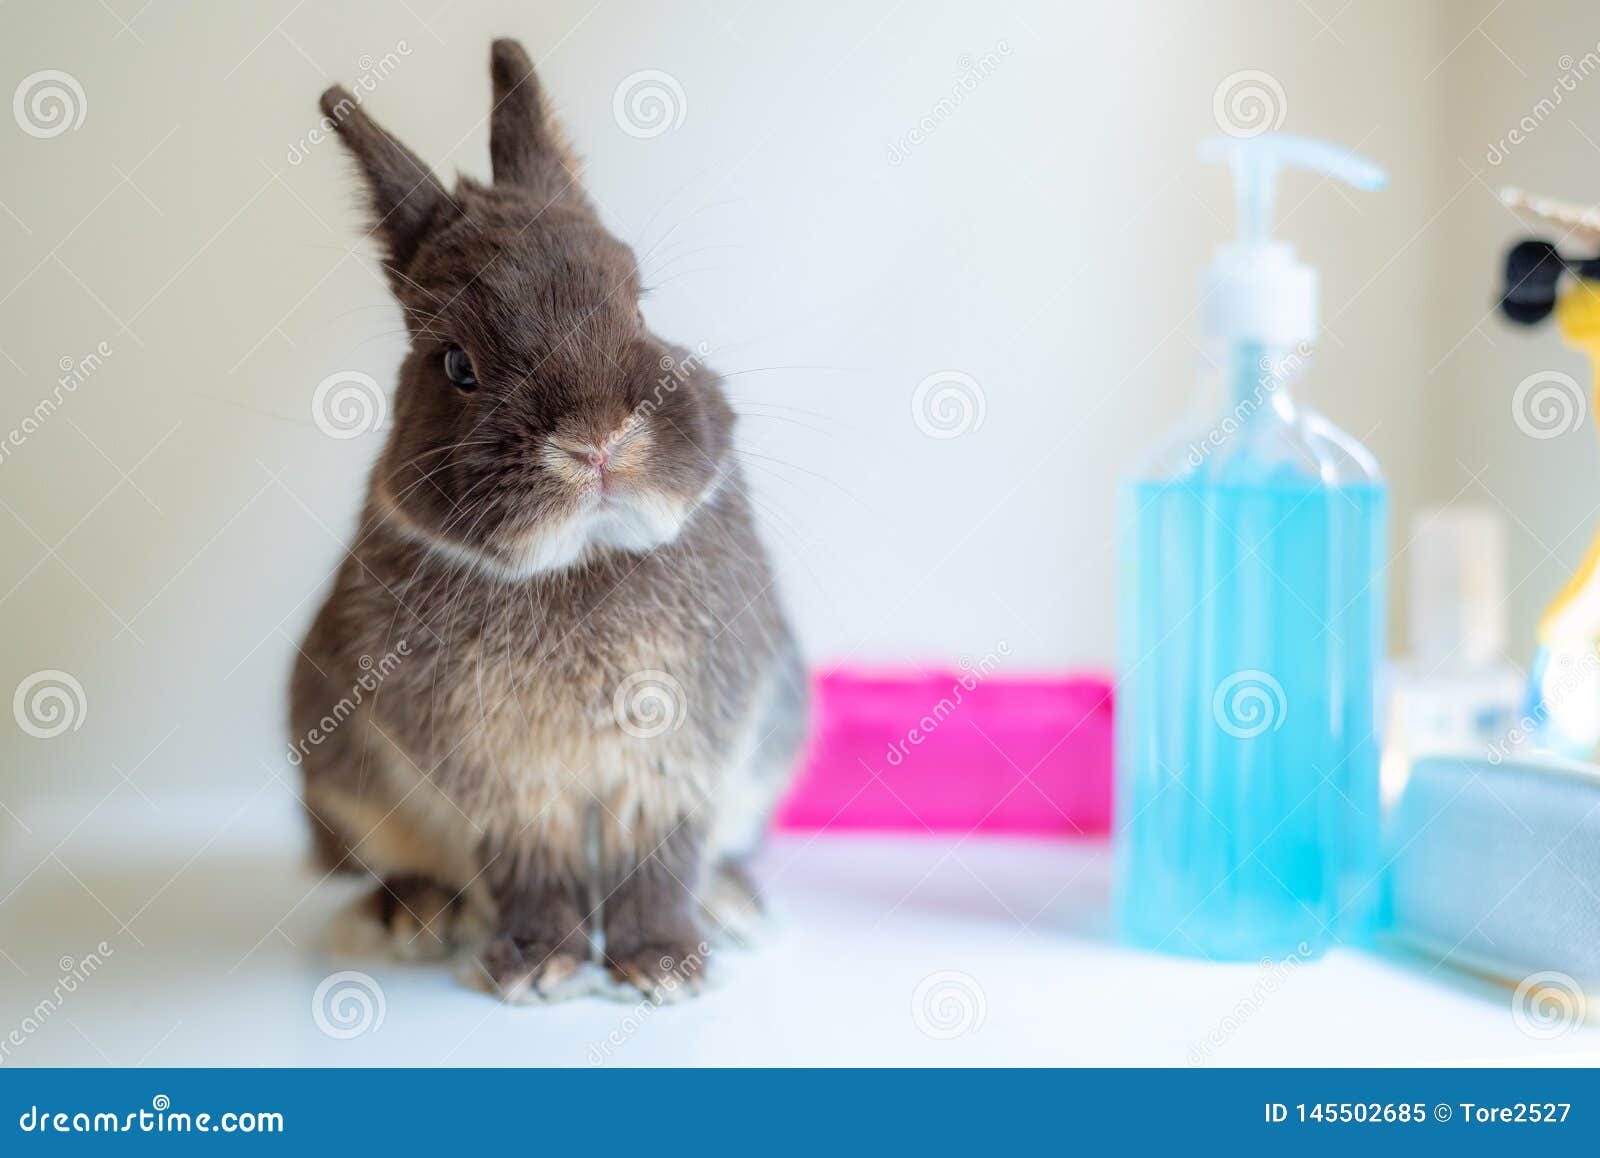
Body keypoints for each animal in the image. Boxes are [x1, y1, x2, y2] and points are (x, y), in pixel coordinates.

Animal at [289, 39, 808, 1002]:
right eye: (456, 364)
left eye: (637, 303)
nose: (599, 441)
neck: (583, 558)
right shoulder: (509, 788)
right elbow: (531, 864)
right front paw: (537, 968)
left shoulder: (674, 763)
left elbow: (660, 860)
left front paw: (665, 967)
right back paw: (410, 916)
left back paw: (732, 903)